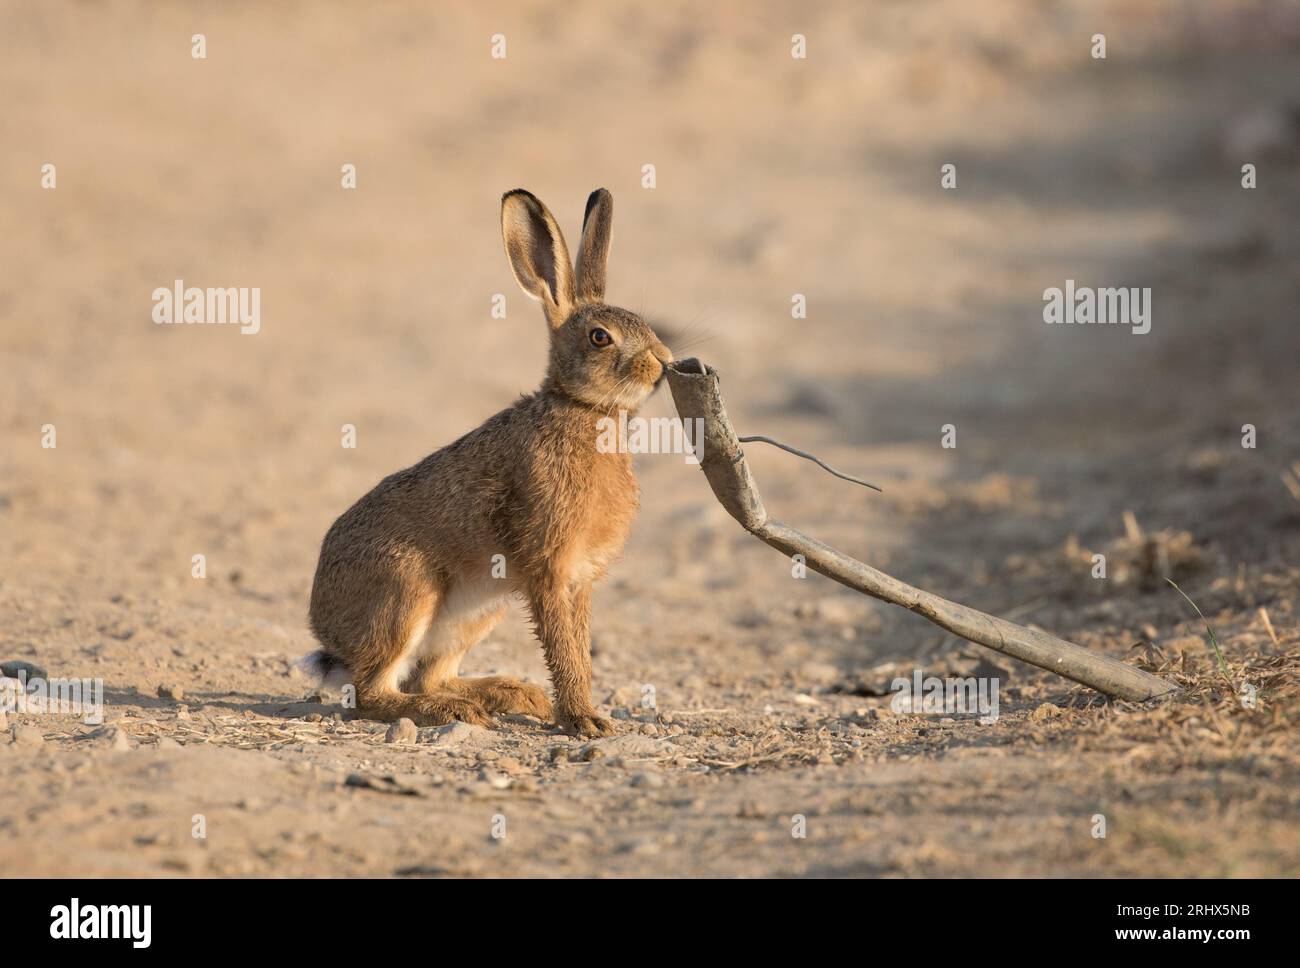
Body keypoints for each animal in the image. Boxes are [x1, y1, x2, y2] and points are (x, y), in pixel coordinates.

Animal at [302, 188, 672, 736]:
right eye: (600, 337)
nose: (663, 365)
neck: (582, 408)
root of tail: (327, 632)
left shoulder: (579, 580)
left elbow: (579, 650)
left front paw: (580, 713)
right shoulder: (549, 569)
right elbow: (565, 650)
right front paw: (583, 720)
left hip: (477, 612)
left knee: (428, 677)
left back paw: (507, 696)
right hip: (407, 593)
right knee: (372, 693)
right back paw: (449, 711)